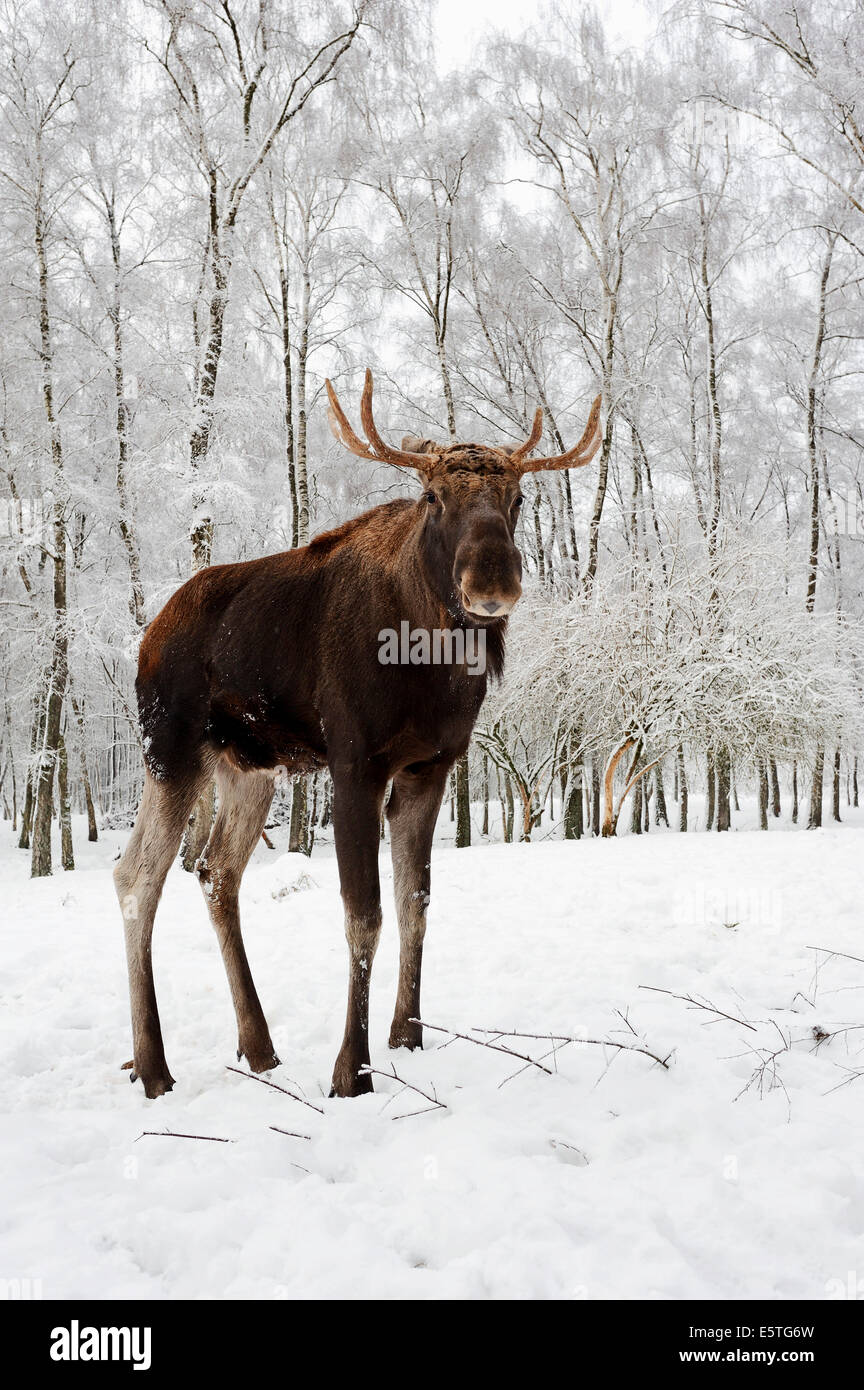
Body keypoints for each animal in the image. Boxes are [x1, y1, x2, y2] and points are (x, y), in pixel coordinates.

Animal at [114, 371, 602, 1099]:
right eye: (433, 496)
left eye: (516, 498)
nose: (492, 580)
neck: (431, 665)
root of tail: (147, 637)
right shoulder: (355, 763)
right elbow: (363, 913)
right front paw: (352, 1069)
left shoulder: (432, 766)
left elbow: (415, 902)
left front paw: (408, 1035)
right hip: (170, 751)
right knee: (137, 877)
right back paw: (152, 1066)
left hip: (249, 767)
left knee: (215, 872)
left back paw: (258, 1047)